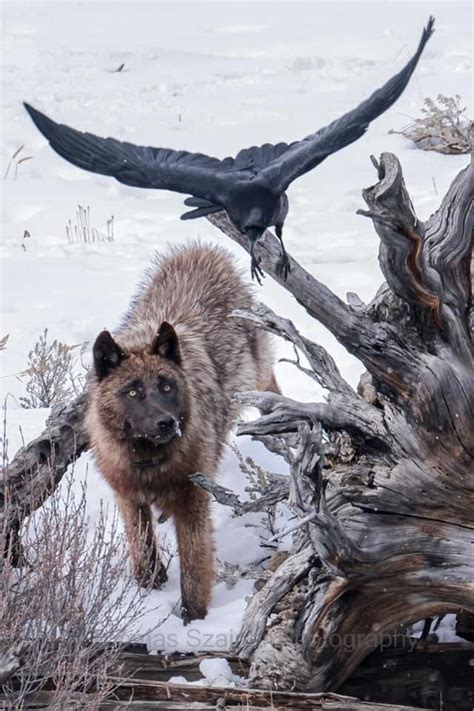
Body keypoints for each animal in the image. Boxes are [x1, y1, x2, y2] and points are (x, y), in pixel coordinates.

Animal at [85, 243, 279, 622]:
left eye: (166, 386)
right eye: (133, 391)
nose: (167, 423)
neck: (150, 461)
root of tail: (202, 249)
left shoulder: (193, 502)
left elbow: (193, 569)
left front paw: (193, 618)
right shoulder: (128, 498)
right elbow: (143, 551)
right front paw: (149, 587)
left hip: (257, 375)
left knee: (272, 388)